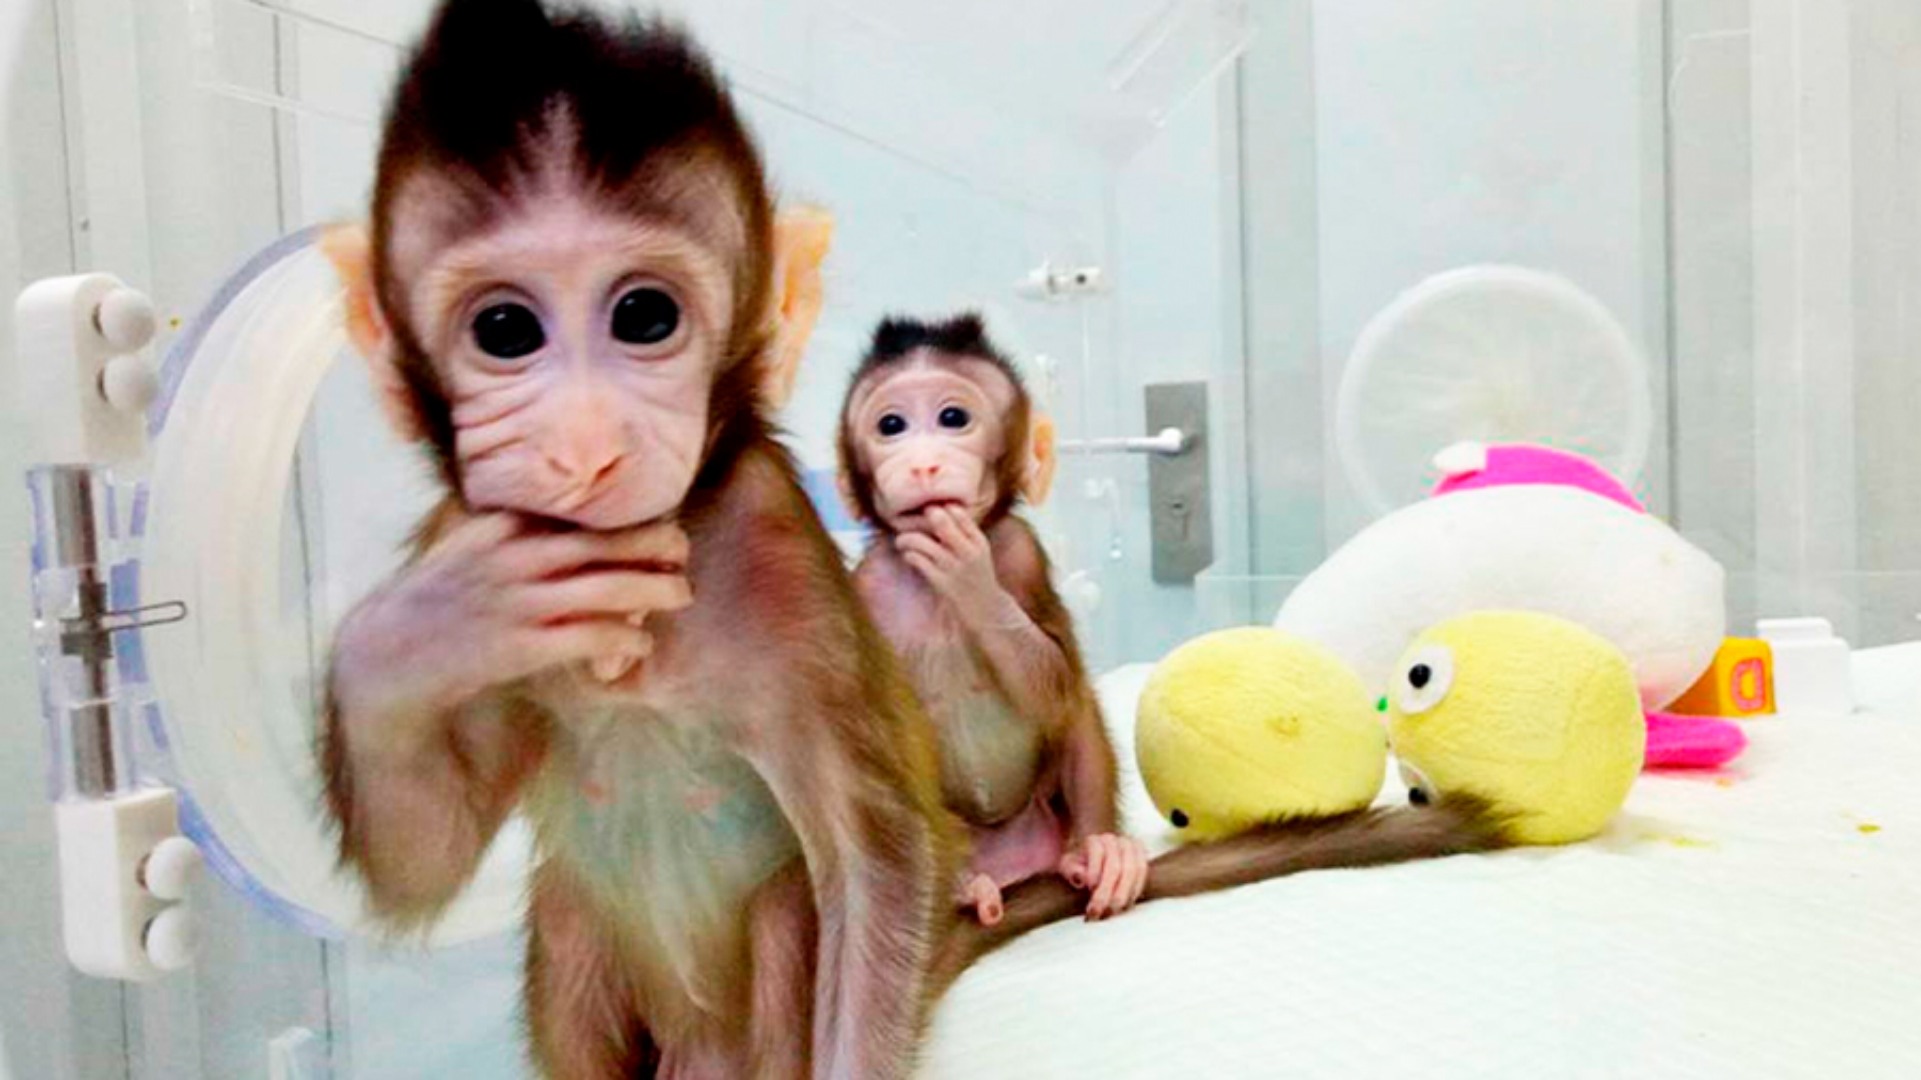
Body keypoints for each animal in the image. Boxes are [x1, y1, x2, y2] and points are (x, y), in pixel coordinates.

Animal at [315, 2, 961, 1077]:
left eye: (644, 315)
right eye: (504, 331)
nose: (583, 445)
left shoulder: (776, 550)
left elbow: (877, 860)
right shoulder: (468, 530)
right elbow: (420, 859)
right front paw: (419, 629)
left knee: (785, 914)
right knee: (567, 913)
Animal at [835, 313, 1152, 928]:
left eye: (953, 418)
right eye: (891, 425)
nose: (922, 461)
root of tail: (1012, 863)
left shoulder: (1020, 552)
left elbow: (1054, 680)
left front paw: (971, 580)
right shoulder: (864, 587)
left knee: (1075, 705)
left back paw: (1098, 852)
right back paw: (960, 888)